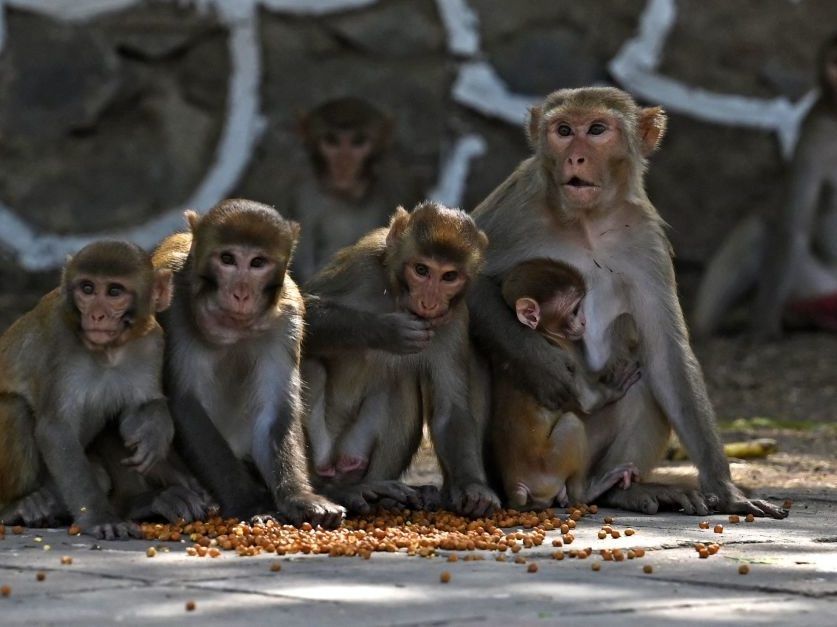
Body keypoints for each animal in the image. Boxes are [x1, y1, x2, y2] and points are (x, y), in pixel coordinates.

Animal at [0, 241, 177, 538]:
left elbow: (138, 410)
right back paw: (14, 507)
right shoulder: (57, 340)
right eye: (87, 288)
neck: (108, 352)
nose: (96, 315)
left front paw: (154, 431)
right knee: (15, 408)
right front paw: (101, 518)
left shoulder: (152, 342)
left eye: (114, 291)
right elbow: (56, 430)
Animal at [153, 198, 344, 528]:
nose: (240, 293)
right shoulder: (173, 303)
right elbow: (185, 402)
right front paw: (250, 503)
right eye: (227, 259)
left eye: (257, 263)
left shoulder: (288, 316)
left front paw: (300, 498)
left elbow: (274, 411)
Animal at [302, 201, 500, 516]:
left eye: (449, 277)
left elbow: (450, 409)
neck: (395, 296)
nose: (429, 303)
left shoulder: (454, 319)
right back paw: (333, 492)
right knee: (311, 367)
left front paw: (473, 486)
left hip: (354, 453)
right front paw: (388, 330)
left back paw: (376, 490)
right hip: (322, 456)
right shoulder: (362, 264)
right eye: (421, 270)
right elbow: (304, 309)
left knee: (401, 385)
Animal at [492, 259, 640, 509]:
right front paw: (615, 386)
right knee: (573, 422)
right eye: (574, 310)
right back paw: (588, 493)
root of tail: (517, 487)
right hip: (551, 464)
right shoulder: (564, 354)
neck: (543, 332)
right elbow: (589, 401)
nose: (584, 321)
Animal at [693, 32, 837, 339]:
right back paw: (704, 328)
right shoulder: (816, 133)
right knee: (757, 230)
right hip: (815, 287)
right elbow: (793, 229)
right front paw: (763, 327)